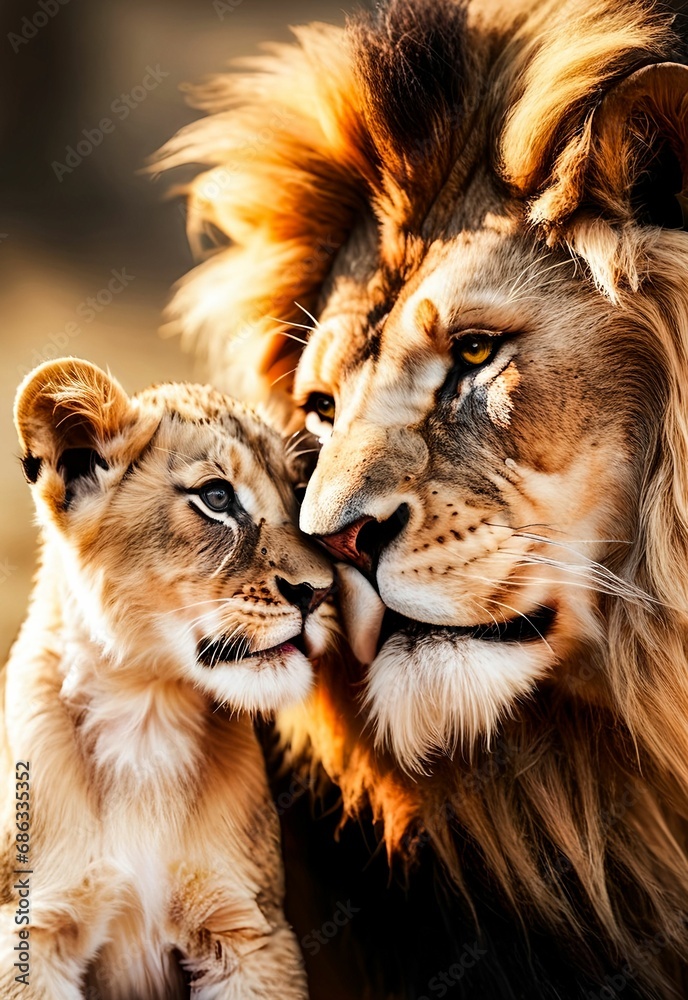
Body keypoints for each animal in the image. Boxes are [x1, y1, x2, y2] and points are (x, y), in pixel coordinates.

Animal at [0, 358, 335, 999]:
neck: (145, 717)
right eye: (216, 497)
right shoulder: (27, 933)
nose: (319, 592)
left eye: (301, 493)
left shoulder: (249, 933)